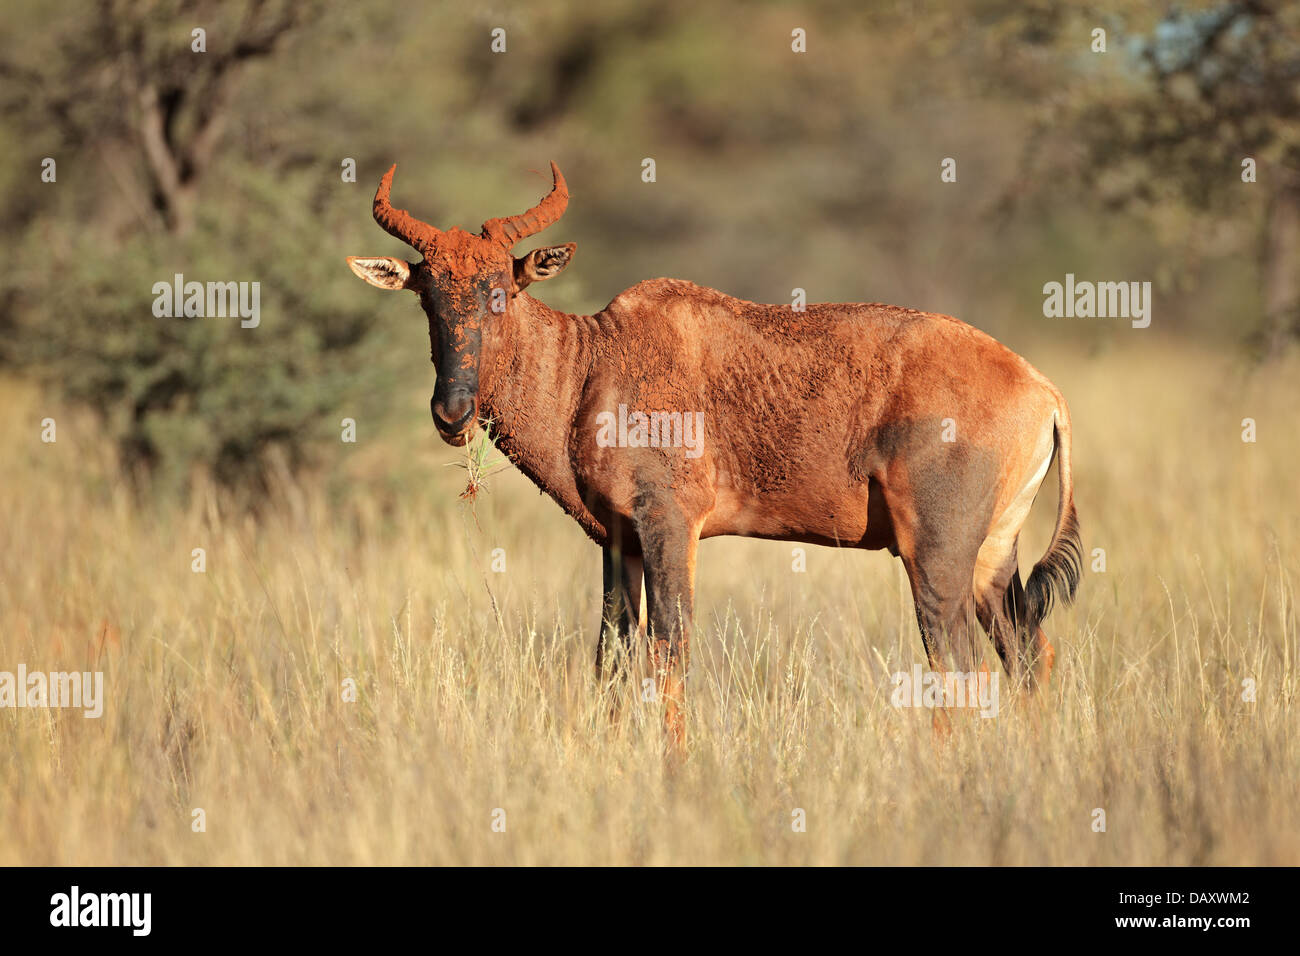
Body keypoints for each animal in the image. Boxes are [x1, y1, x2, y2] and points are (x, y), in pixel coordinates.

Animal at [347, 163, 1082, 745]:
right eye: (427, 294)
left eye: (502, 287)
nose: (452, 413)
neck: (598, 359)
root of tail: (1041, 389)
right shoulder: (618, 539)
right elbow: (612, 654)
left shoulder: (670, 523)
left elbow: (670, 648)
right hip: (993, 556)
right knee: (1027, 653)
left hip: (934, 554)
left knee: (960, 664)